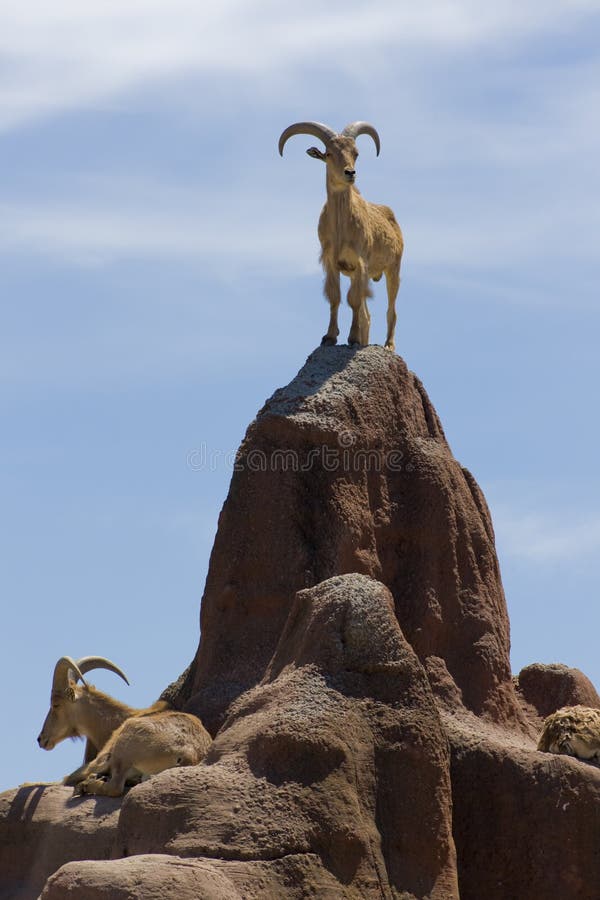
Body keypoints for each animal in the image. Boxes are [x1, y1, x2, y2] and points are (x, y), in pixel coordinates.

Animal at [37, 655, 210, 791]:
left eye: (55, 704)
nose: (41, 739)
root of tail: (187, 755)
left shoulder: (104, 754)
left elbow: (66, 778)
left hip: (123, 749)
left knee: (114, 786)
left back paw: (86, 785)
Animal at [279, 121, 403, 351]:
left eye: (356, 153)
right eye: (328, 154)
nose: (350, 172)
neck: (341, 229)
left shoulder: (360, 261)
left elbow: (352, 300)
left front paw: (352, 338)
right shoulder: (331, 262)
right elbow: (335, 297)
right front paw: (330, 337)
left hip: (393, 268)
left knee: (391, 310)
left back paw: (388, 345)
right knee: (367, 315)